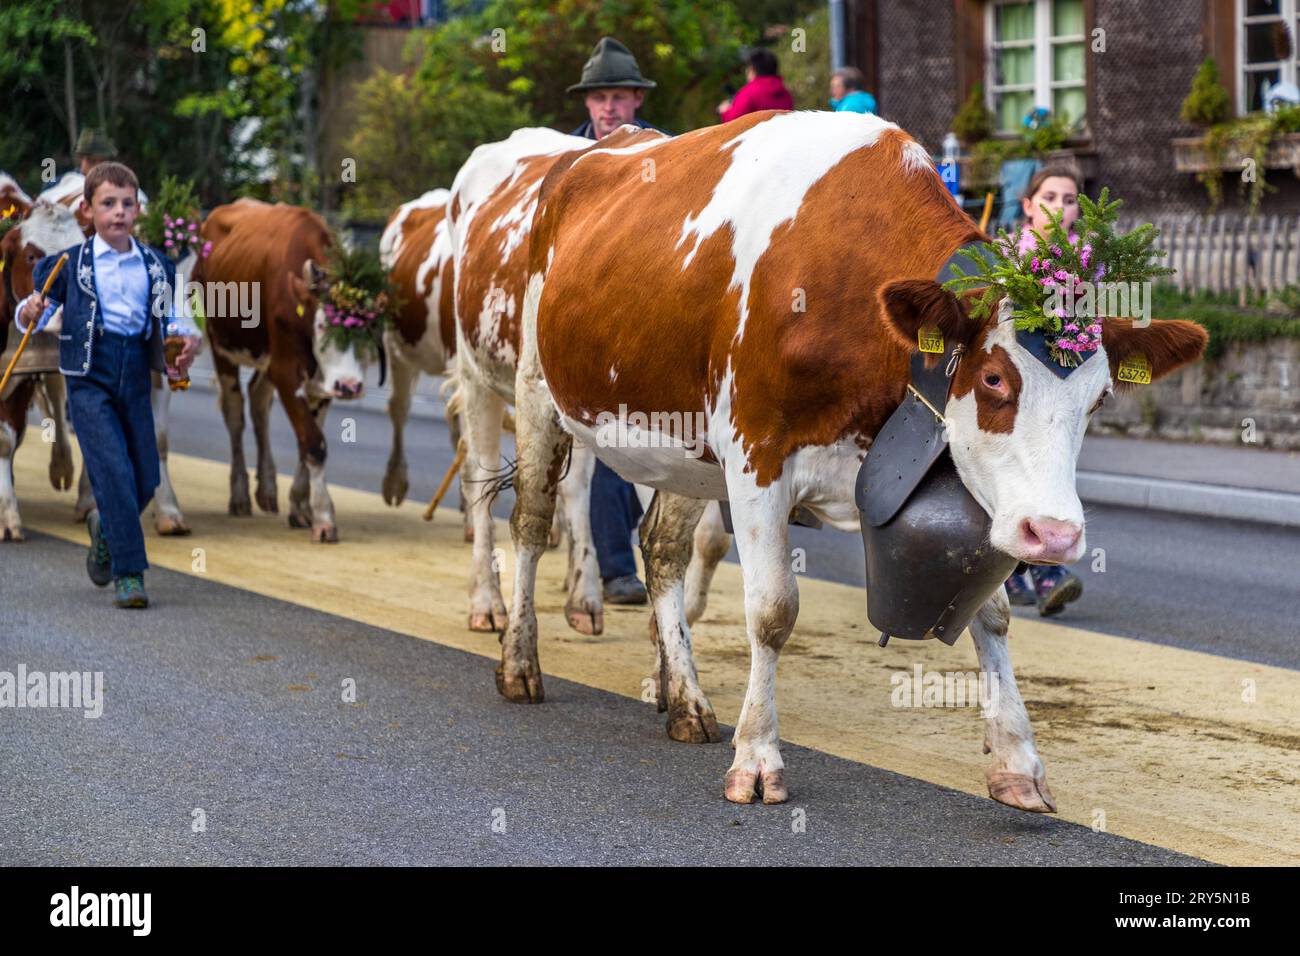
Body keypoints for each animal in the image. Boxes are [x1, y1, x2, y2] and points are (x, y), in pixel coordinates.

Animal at [195, 198, 375, 542]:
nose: (350, 386)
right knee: (235, 412)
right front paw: (324, 518)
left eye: (369, 328)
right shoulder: (286, 370)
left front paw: (301, 506)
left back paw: (266, 489)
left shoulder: (321, 378)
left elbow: (310, 438)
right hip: (220, 343)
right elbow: (313, 442)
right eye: (323, 324)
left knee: (258, 399)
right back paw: (239, 494)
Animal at [499, 111, 1208, 810]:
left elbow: (993, 612)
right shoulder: (756, 459)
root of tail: (591, 153)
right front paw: (758, 757)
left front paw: (1017, 762)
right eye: (993, 379)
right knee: (531, 522)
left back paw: (684, 699)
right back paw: (519, 663)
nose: (1055, 534)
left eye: (1100, 397)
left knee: (663, 549)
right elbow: (772, 611)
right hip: (536, 389)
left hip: (686, 449)